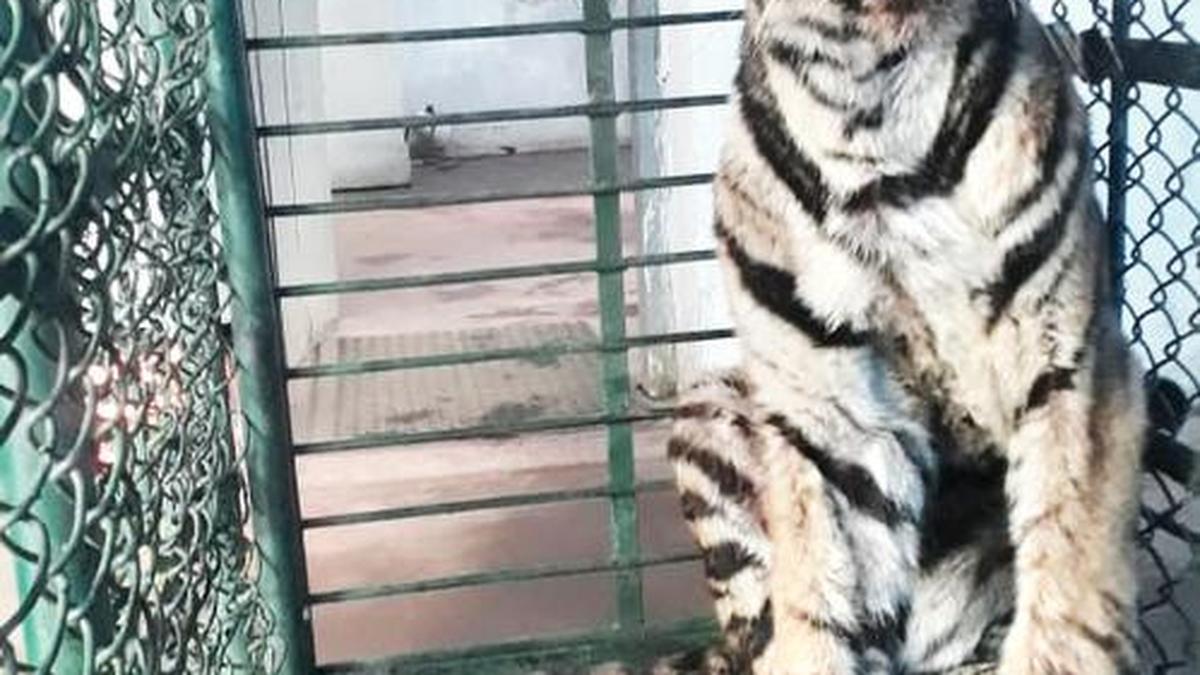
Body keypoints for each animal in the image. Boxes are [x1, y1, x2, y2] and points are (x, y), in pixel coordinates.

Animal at [656, 0, 1146, 673]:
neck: (865, 68)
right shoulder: (836, 420)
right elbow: (823, 603)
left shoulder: (1068, 365)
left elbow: (1065, 592)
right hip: (708, 407)